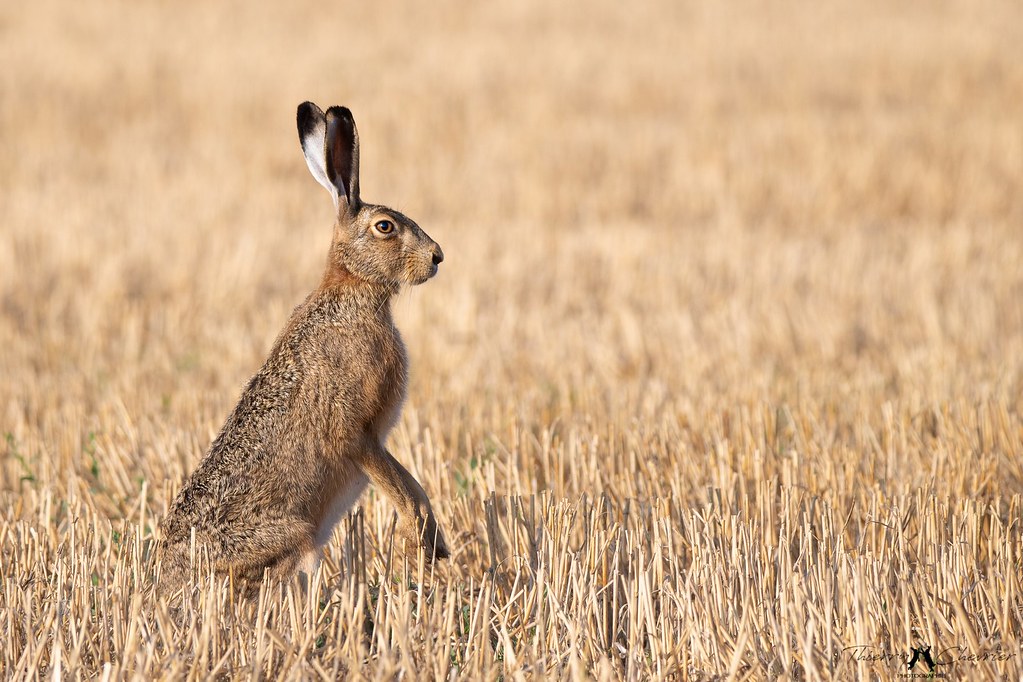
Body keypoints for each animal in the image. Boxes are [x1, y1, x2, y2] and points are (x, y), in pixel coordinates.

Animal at [157, 102, 449, 596]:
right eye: (385, 227)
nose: (437, 258)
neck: (355, 288)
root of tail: (169, 586)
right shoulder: (355, 433)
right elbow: (398, 488)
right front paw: (423, 542)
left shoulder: (377, 439)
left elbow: (411, 484)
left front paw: (437, 543)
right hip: (294, 535)